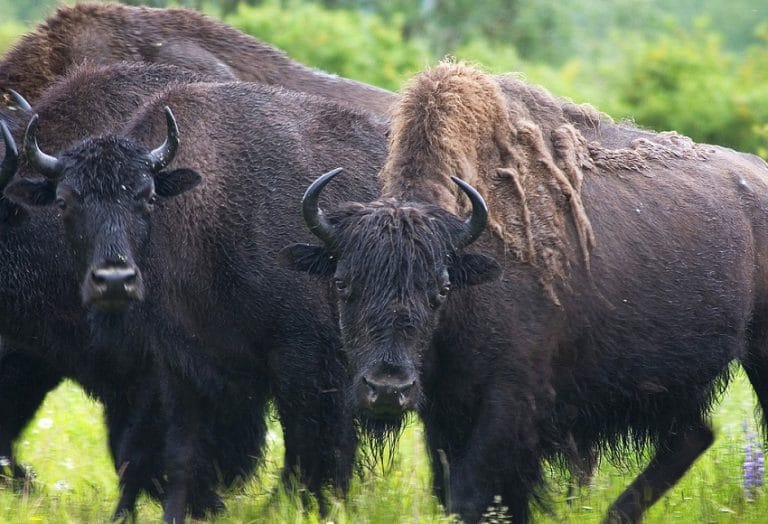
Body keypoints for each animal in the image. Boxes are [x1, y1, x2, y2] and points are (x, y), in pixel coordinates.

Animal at [6, 81, 388, 522]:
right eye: (65, 202)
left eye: (147, 198)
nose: (114, 280)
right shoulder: (181, 365)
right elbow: (181, 452)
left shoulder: (307, 360)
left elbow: (312, 441)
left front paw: (307, 505)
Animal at [280, 62, 768, 522]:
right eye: (342, 283)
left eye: (442, 287)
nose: (386, 389)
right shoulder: (444, 408)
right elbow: (454, 490)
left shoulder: (509, 401)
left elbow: (471, 493)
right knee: (693, 436)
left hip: (753, 356)